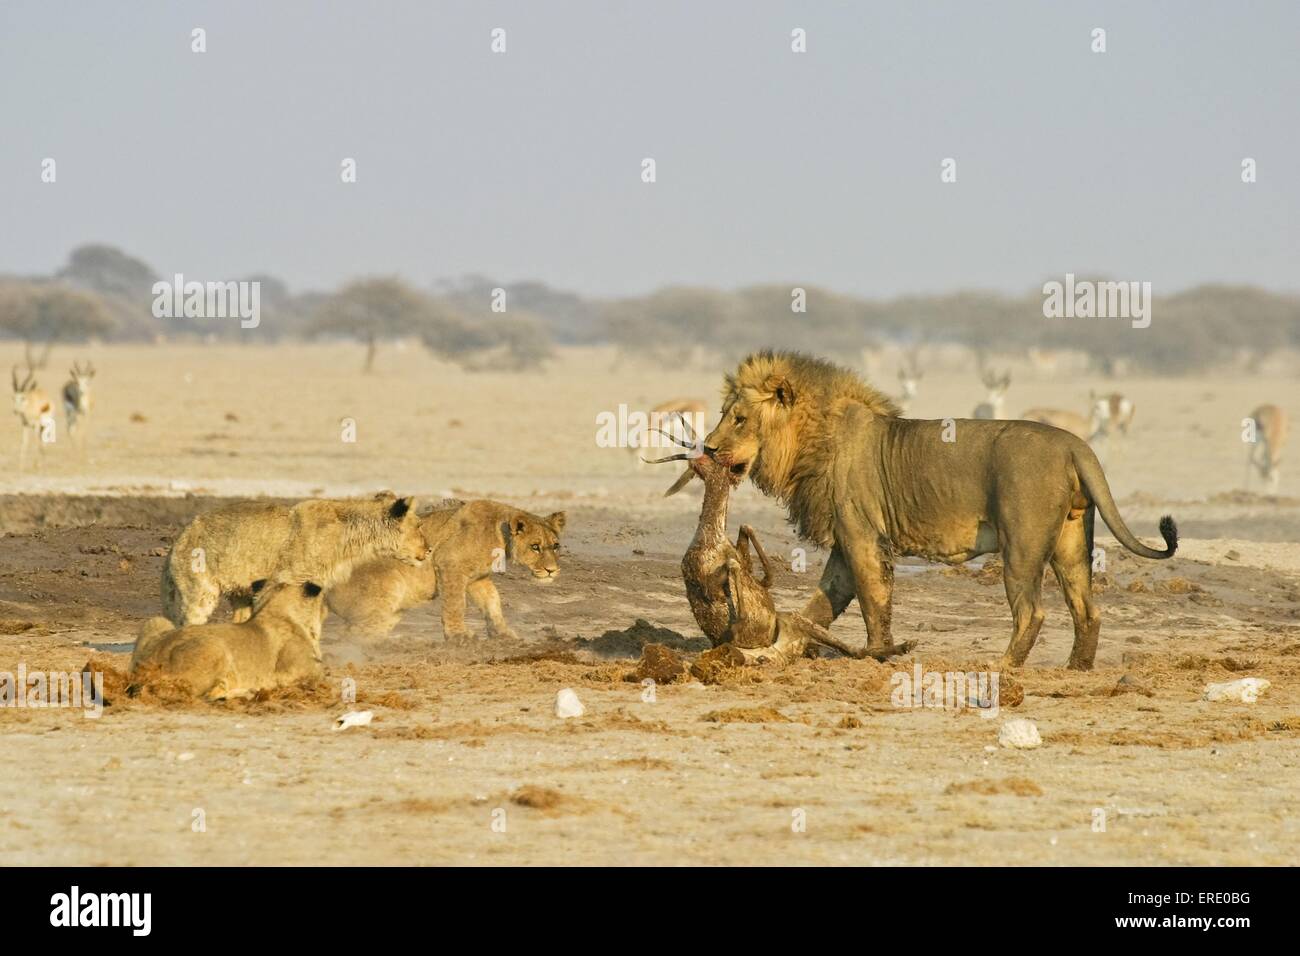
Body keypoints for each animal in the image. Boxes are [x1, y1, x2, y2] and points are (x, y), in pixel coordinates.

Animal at [162, 494, 431, 629]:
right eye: (419, 525)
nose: (428, 550)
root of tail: (178, 541)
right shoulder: (284, 578)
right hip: (199, 590)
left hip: (239, 592)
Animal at [325, 502, 564, 642]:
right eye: (535, 547)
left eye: (555, 546)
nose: (552, 571)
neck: (500, 536)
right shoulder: (450, 564)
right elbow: (456, 604)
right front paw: (459, 635)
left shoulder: (478, 579)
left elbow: (492, 603)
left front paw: (503, 634)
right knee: (346, 634)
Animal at [686, 348, 1185, 671]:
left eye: (739, 419)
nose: (707, 448)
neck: (813, 439)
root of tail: (1075, 444)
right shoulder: (848, 542)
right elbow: (823, 602)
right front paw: (790, 641)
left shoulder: (862, 536)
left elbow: (873, 600)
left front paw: (879, 654)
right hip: (1071, 541)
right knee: (1087, 609)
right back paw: (1075, 669)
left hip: (1022, 544)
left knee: (1032, 611)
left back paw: (1003, 665)